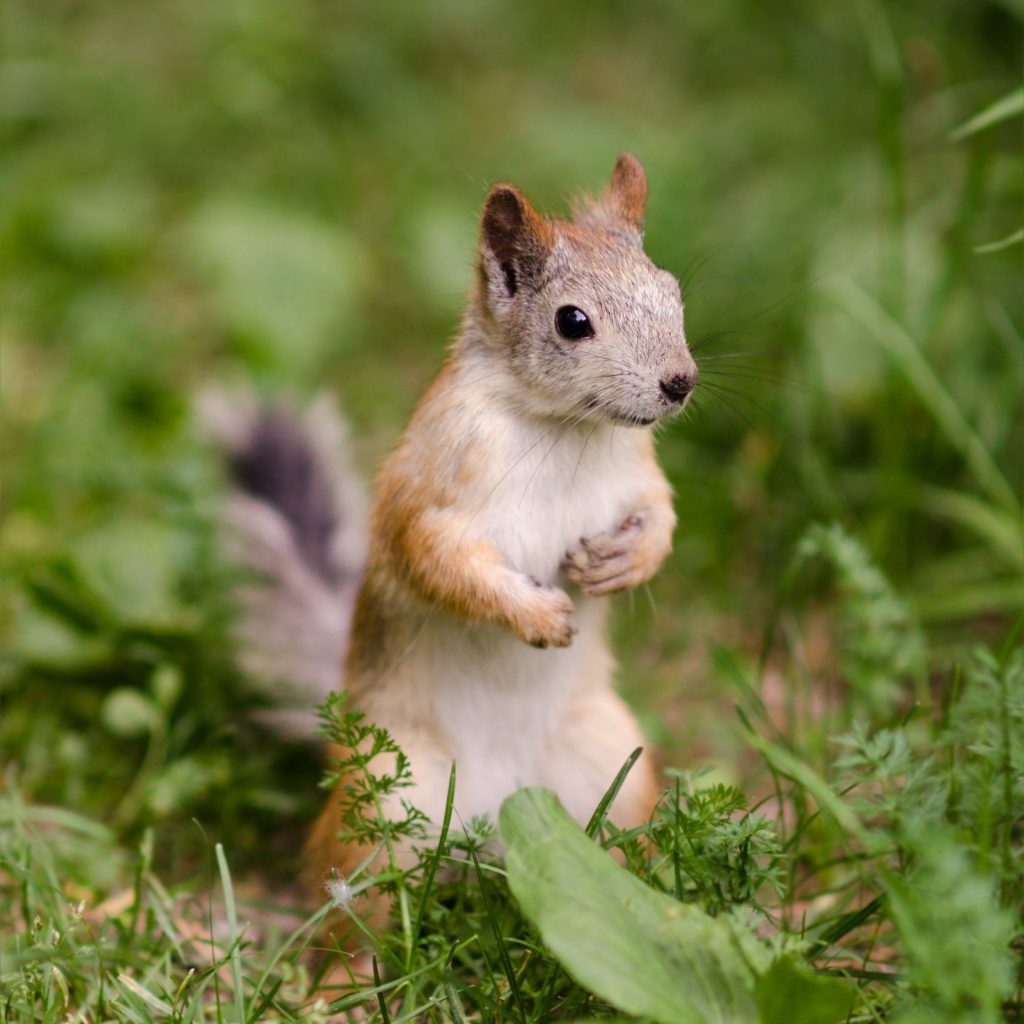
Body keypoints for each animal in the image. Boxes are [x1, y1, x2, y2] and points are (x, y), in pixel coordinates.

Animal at [211, 152, 697, 943]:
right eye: (572, 322)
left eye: (672, 289)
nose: (679, 383)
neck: (564, 428)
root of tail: (494, 825)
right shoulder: (432, 493)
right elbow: (442, 564)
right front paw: (537, 616)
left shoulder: (640, 475)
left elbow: (660, 517)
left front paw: (626, 562)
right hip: (383, 803)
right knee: (356, 908)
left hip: (611, 769)